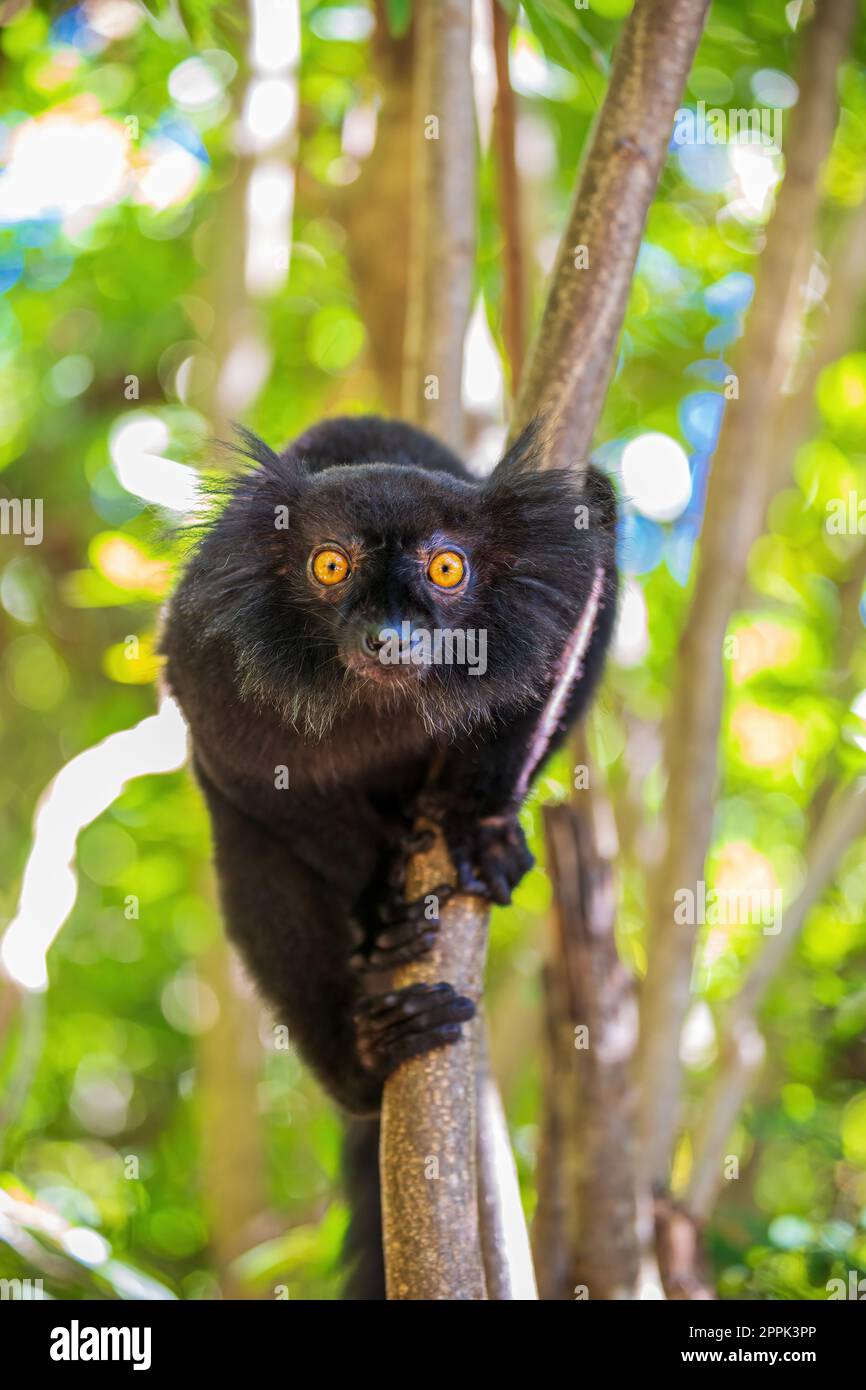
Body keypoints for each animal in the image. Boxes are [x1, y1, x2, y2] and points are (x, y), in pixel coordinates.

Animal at [161, 414, 618, 1298]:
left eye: (447, 568)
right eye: (330, 565)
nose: (390, 638)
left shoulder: (554, 579)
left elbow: (583, 583)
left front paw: (476, 823)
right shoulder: (210, 650)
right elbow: (246, 771)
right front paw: (377, 897)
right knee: (253, 868)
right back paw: (368, 1062)